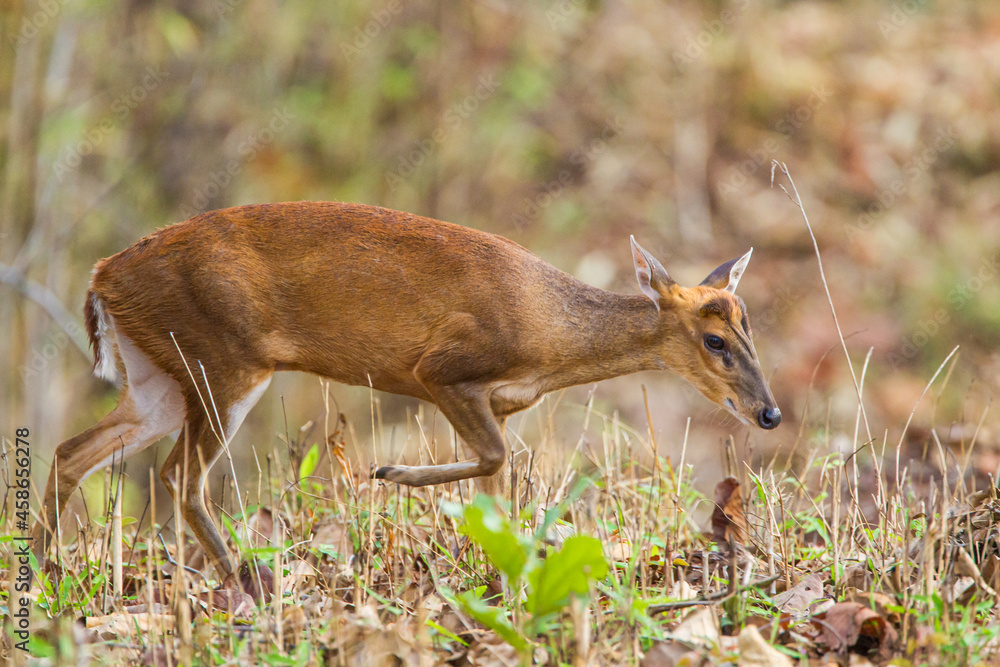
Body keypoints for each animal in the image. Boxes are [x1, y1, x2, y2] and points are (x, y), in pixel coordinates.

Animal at [32, 201, 781, 584]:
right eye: (715, 340)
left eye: (751, 324)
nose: (768, 412)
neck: (547, 333)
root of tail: (101, 275)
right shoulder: (440, 367)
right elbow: (496, 457)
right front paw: (391, 474)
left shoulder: (496, 398)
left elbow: (502, 484)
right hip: (222, 357)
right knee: (179, 476)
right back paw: (249, 584)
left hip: (158, 376)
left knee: (74, 452)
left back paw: (42, 569)